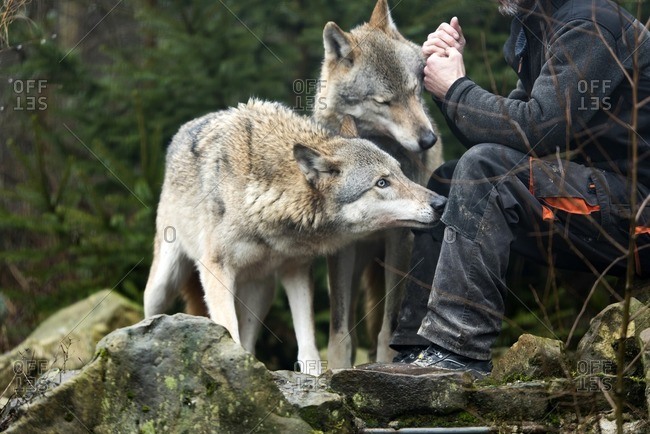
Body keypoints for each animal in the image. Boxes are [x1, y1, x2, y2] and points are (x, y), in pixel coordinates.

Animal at [143, 99, 446, 376]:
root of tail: (183, 130)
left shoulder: (296, 269)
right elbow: (230, 331)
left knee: (250, 343)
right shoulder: (216, 269)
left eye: (401, 173)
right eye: (381, 183)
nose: (441, 202)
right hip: (163, 284)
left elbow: (308, 346)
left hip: (262, 293)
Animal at [313, 0, 445, 367]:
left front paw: (387, 360)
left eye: (414, 91)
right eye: (385, 101)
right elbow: (339, 326)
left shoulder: (401, 237)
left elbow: (390, 322)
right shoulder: (339, 246)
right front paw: (337, 368)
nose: (428, 140)